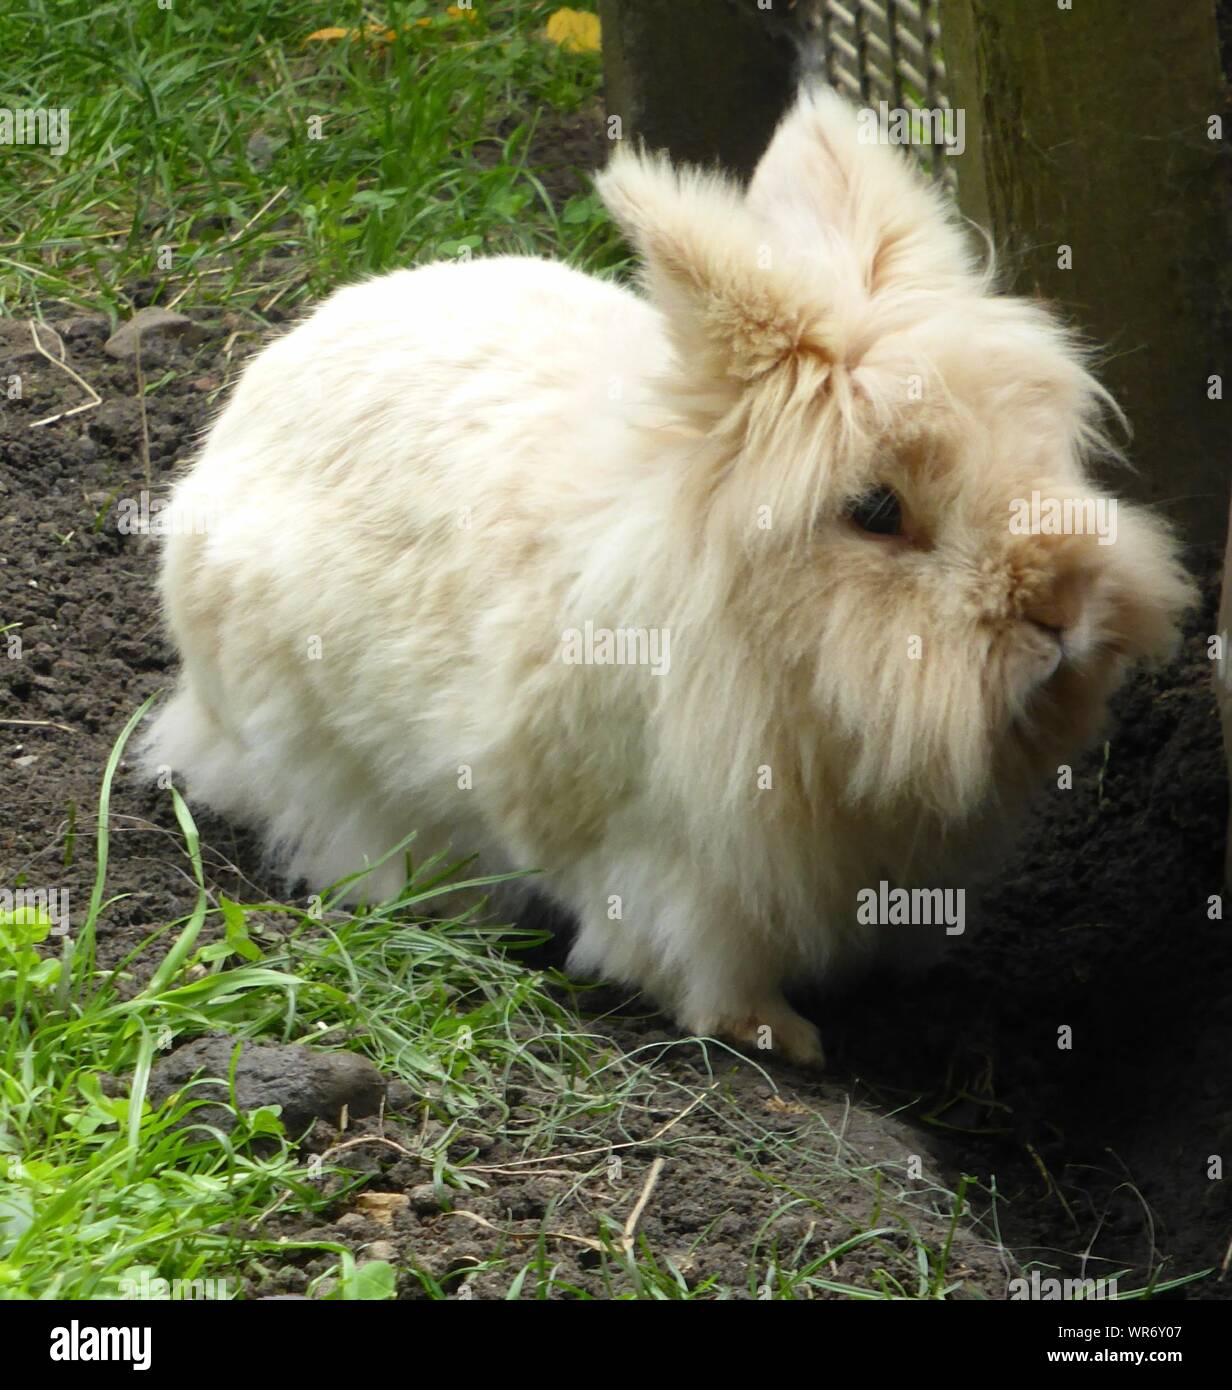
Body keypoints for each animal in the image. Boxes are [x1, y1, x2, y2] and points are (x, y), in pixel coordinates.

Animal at [143, 89, 1194, 1067]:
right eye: (875, 511)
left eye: (1035, 447)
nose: (1060, 611)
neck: (787, 656)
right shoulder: (684, 869)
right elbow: (703, 964)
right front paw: (782, 1039)